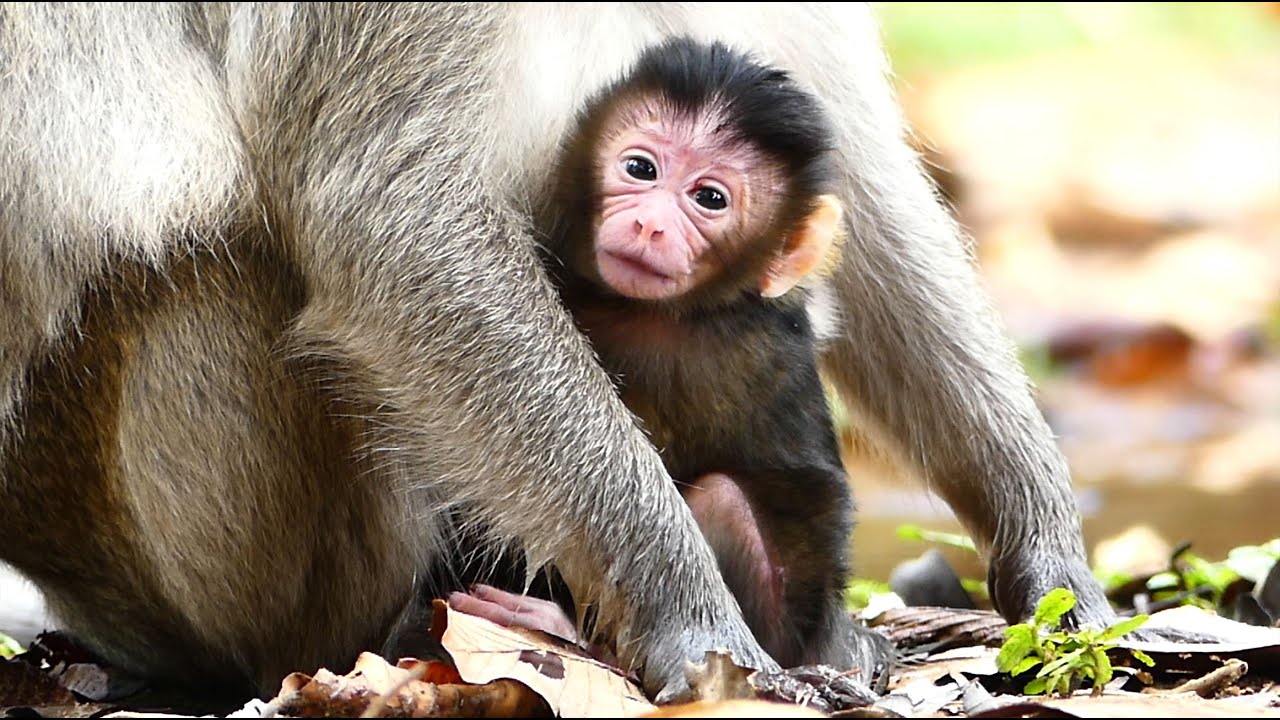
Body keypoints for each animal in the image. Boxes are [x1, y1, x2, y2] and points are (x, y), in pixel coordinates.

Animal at [0, 2, 1115, 705]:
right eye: (644, 170)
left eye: (711, 194)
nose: (657, 221)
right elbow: (392, 220)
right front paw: (692, 621)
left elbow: (865, 189)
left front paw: (1047, 553)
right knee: (215, 251)